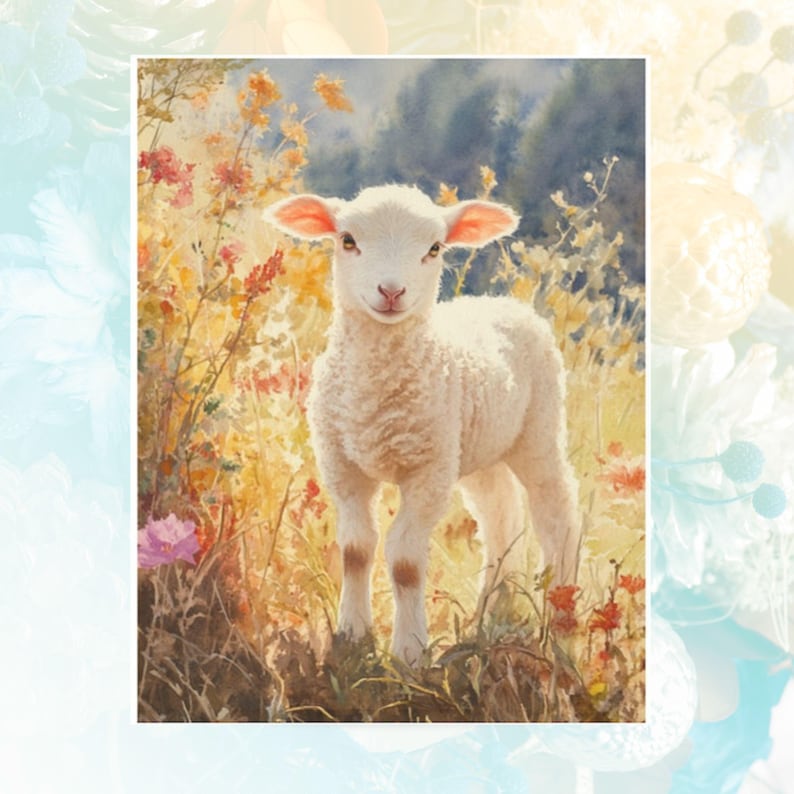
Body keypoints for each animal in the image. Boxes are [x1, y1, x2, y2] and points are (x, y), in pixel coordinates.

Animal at [264, 184, 580, 665]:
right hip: (476, 447)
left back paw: (561, 618)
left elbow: (406, 563)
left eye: (434, 248)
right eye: (347, 240)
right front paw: (352, 636)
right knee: (500, 515)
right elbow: (356, 550)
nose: (391, 291)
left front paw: (409, 652)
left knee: (557, 514)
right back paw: (492, 610)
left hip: (539, 429)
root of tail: (502, 301)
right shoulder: (343, 467)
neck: (374, 400)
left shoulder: (427, 473)